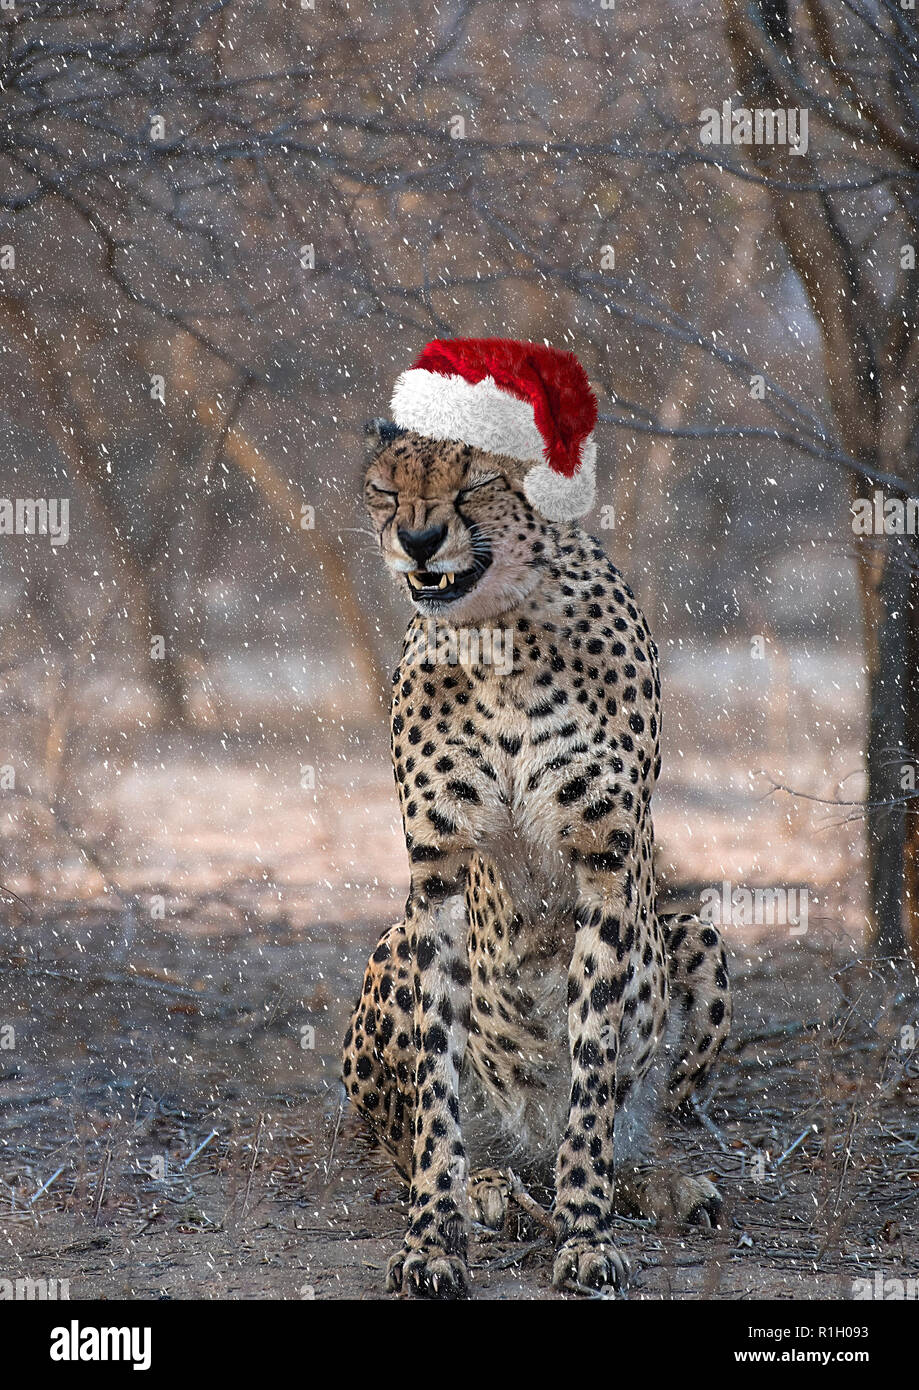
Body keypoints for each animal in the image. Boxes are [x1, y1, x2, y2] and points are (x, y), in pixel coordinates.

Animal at [342, 418, 732, 1298]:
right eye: (386, 488)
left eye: (476, 484)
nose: (417, 539)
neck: (500, 635)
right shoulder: (437, 871)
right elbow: (437, 1091)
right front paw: (432, 1239)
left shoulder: (606, 863)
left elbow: (590, 1082)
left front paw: (585, 1234)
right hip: (390, 947)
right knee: (410, 1143)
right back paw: (490, 1185)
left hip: (696, 939)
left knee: (630, 1117)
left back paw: (657, 1184)